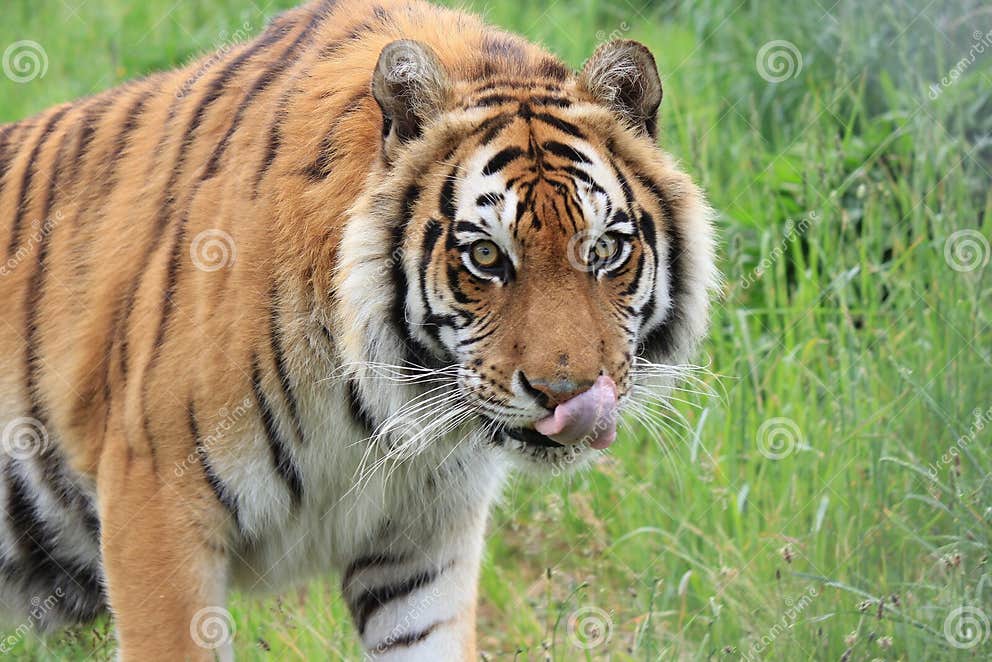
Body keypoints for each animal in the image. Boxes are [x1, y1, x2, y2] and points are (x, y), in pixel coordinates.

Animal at [0, 0, 717, 658]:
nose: (567, 394)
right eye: (486, 257)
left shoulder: (422, 545)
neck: (383, 405)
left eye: (604, 251)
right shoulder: (155, 502)